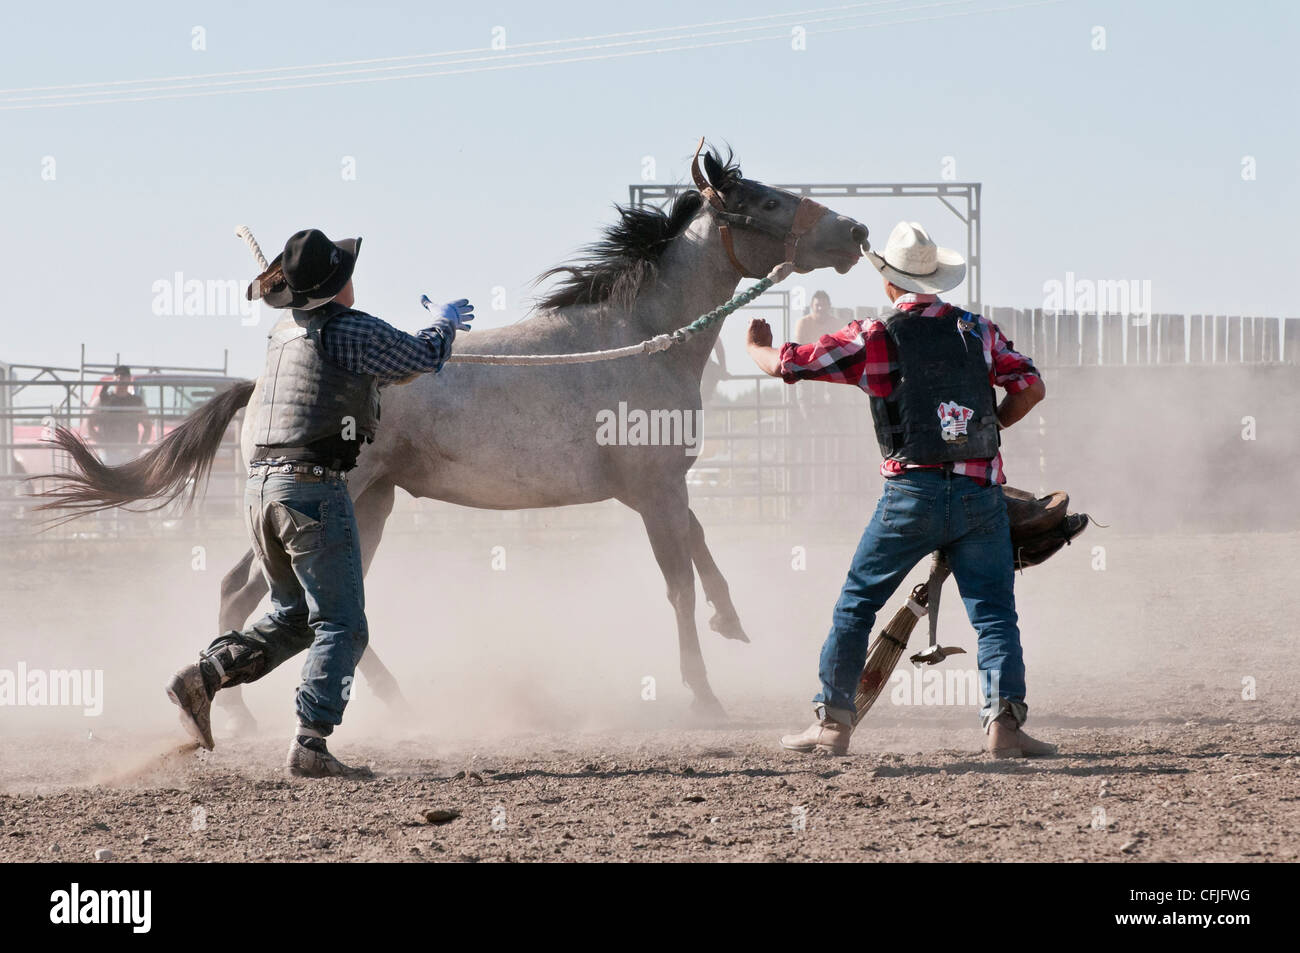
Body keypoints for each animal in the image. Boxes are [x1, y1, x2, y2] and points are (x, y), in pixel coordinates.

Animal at [38, 142, 868, 727]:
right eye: (762, 199)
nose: (854, 228)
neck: (636, 337)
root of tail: (259, 385)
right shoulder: (654, 489)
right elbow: (680, 582)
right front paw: (704, 693)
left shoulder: (663, 489)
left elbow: (700, 551)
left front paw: (734, 621)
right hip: (339, 505)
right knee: (255, 591)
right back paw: (245, 712)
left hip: (367, 507)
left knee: (296, 600)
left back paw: (384, 701)